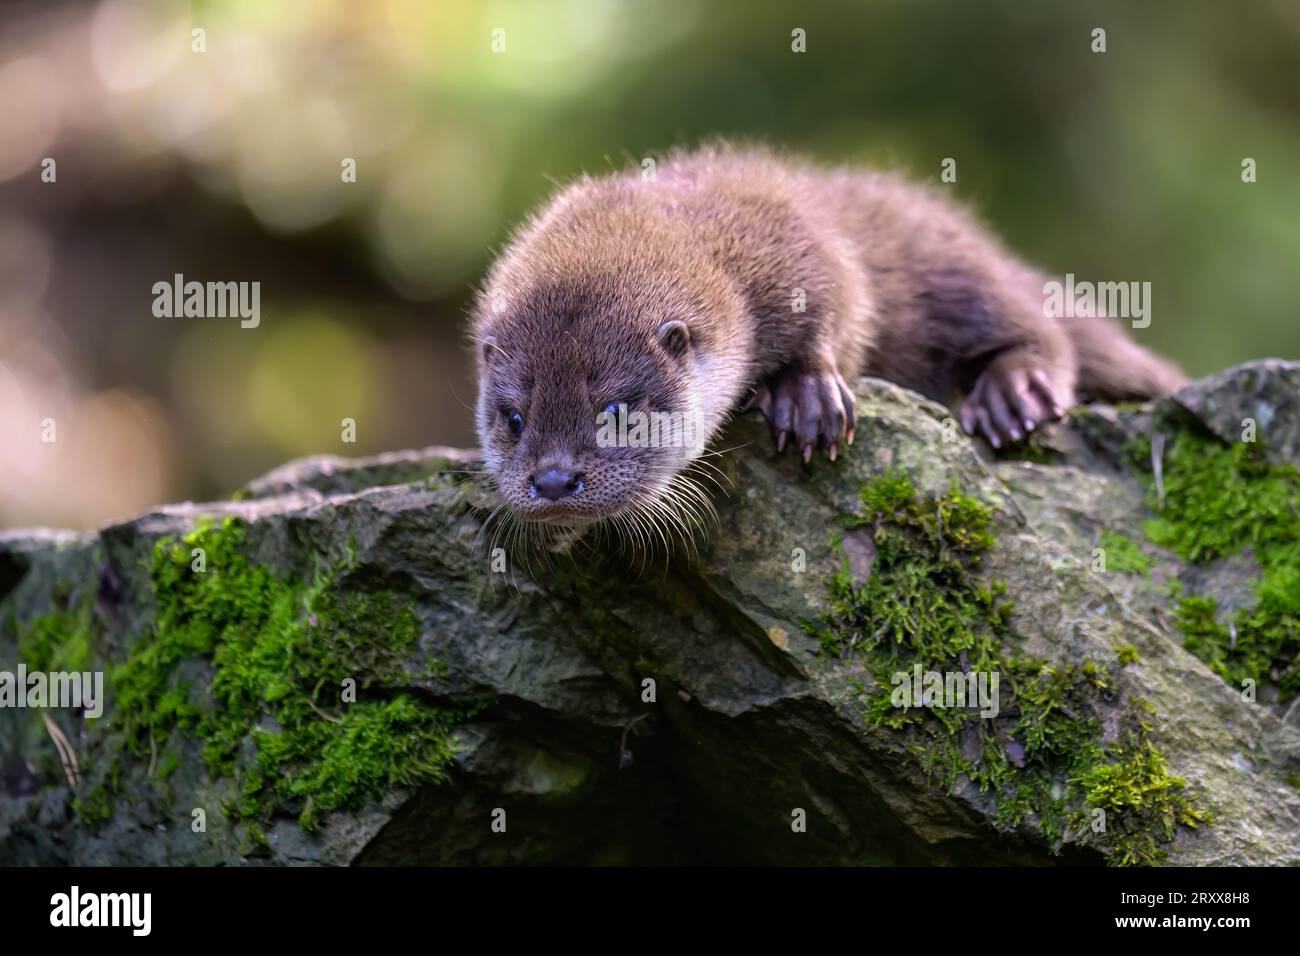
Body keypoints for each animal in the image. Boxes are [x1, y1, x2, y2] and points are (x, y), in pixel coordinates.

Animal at [472, 145, 1185, 534]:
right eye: (513, 417)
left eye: (616, 410)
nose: (555, 481)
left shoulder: (803, 248)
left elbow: (838, 312)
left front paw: (809, 397)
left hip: (950, 269)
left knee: (1038, 328)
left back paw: (1013, 392)